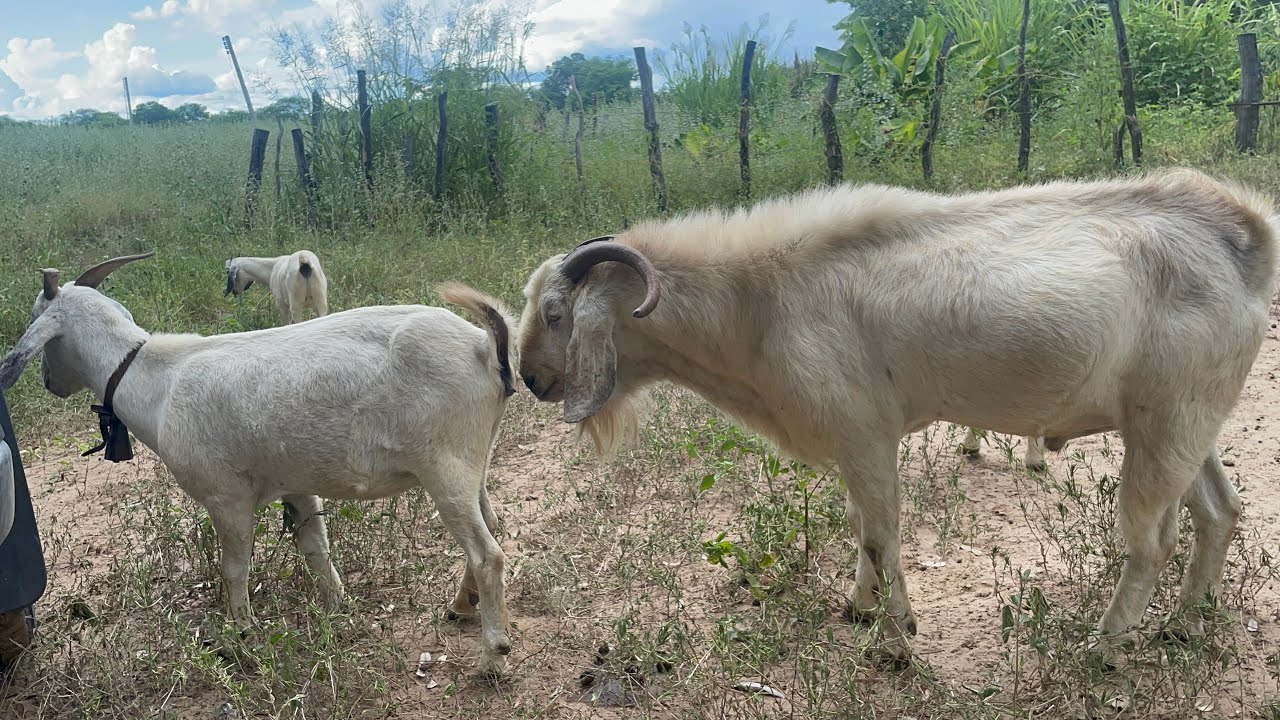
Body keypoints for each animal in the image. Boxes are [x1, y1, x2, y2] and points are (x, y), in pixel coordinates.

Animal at [0, 253, 519, 675]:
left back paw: (491, 657)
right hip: (473, 461)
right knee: (492, 520)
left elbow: (234, 568)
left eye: (38, 320)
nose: (49, 383)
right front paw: (337, 607)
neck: (156, 379)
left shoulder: (225, 496)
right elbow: (315, 548)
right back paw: (461, 605)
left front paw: (241, 639)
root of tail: (483, 346)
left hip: (444, 465)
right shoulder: (297, 485)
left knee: (487, 552)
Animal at [514, 168, 1278, 664]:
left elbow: (882, 535)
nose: (528, 379)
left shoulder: (865, 434)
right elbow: (861, 527)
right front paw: (861, 609)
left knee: (1152, 543)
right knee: (1220, 513)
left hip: (1167, 428)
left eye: (554, 314)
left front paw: (893, 642)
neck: (757, 299)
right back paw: (1184, 627)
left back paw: (1106, 648)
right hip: (1183, 423)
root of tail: (1242, 235)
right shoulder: (857, 443)